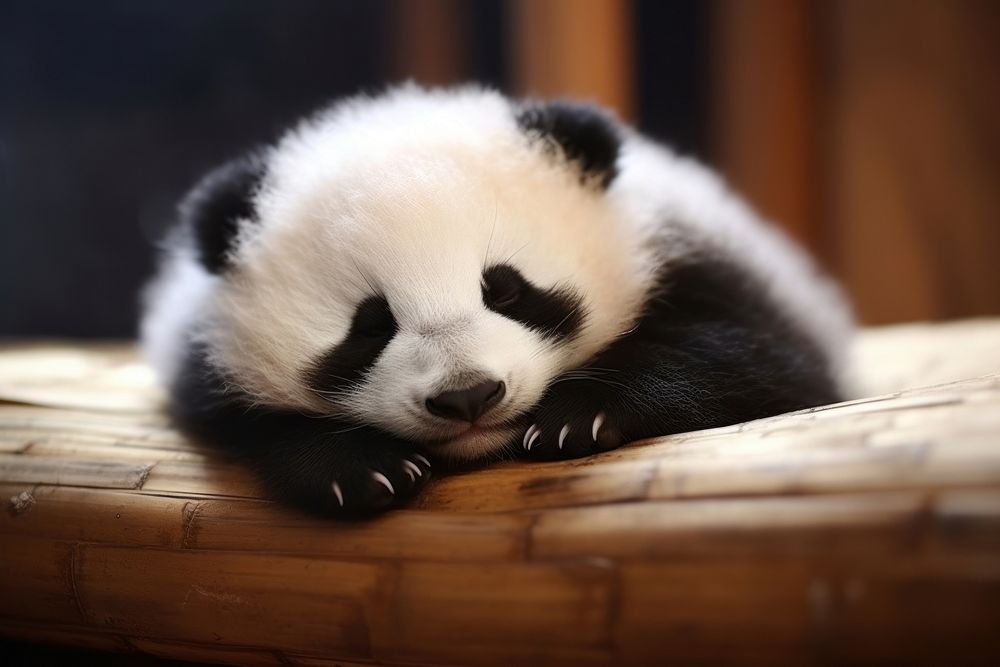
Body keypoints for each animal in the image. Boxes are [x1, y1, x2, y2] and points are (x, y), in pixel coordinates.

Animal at [141, 85, 853, 515]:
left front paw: (581, 417)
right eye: (370, 325)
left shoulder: (697, 256)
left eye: (504, 288)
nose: (468, 398)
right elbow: (241, 417)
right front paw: (359, 470)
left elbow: (762, 360)